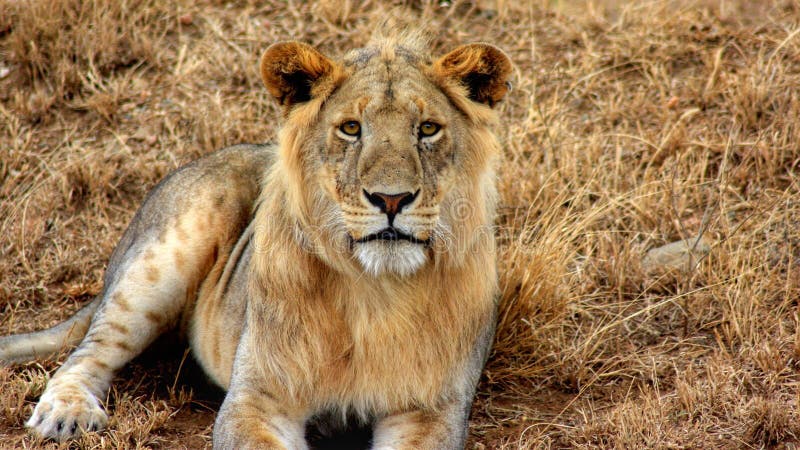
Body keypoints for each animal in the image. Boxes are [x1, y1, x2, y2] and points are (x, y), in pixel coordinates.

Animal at [0, 34, 512, 449]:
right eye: (351, 128)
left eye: (427, 129)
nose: (391, 198)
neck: (375, 290)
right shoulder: (258, 398)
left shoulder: (431, 409)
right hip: (164, 255)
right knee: (87, 351)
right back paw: (65, 413)